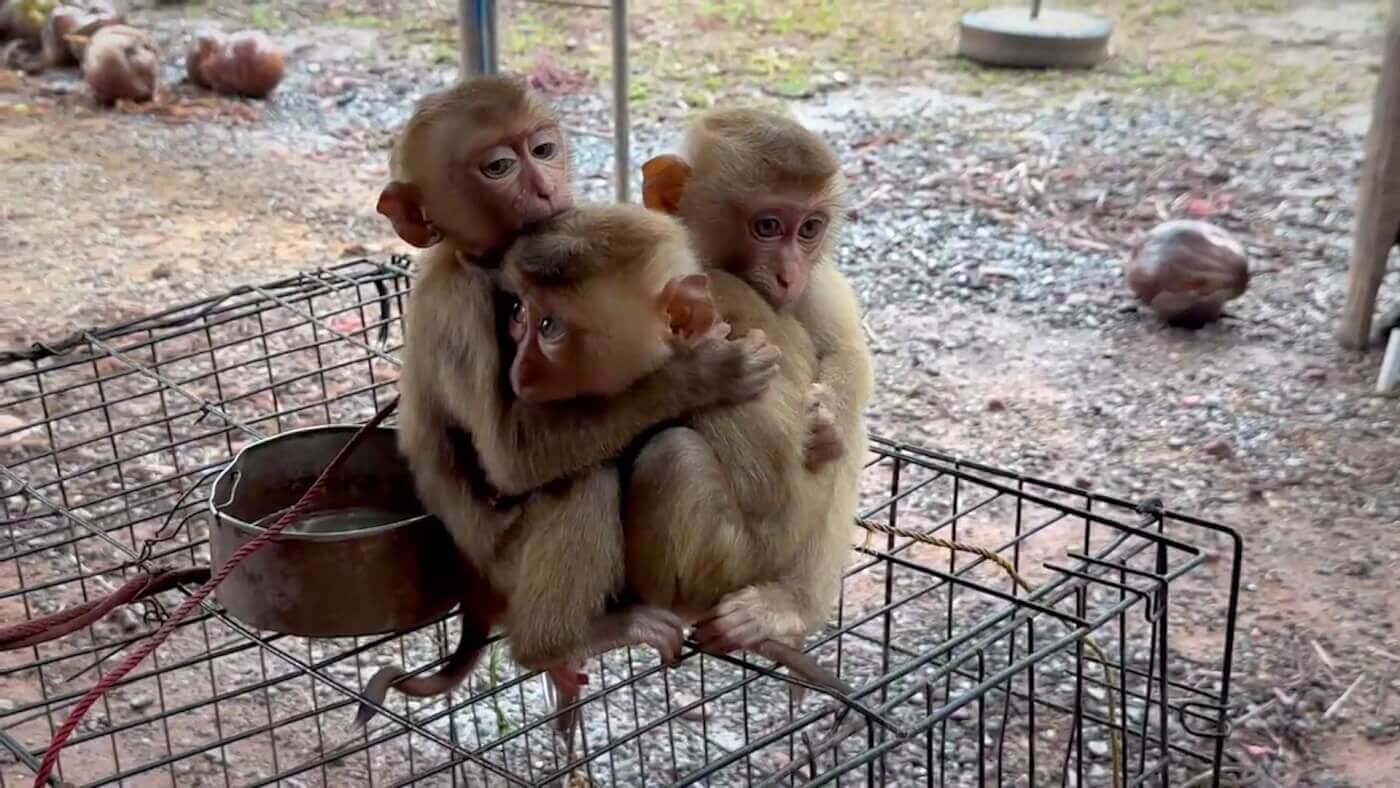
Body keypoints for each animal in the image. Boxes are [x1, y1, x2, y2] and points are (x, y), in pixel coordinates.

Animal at [354, 76, 780, 727]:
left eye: (544, 149)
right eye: (499, 167)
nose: (544, 185)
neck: (475, 262)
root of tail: (476, 588)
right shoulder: (460, 308)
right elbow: (511, 455)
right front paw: (699, 375)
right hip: (506, 563)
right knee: (584, 479)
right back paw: (562, 642)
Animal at [639, 107, 873, 690]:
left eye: (809, 229)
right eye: (767, 226)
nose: (789, 274)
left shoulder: (818, 284)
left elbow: (849, 355)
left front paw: (827, 419)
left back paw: (787, 605)